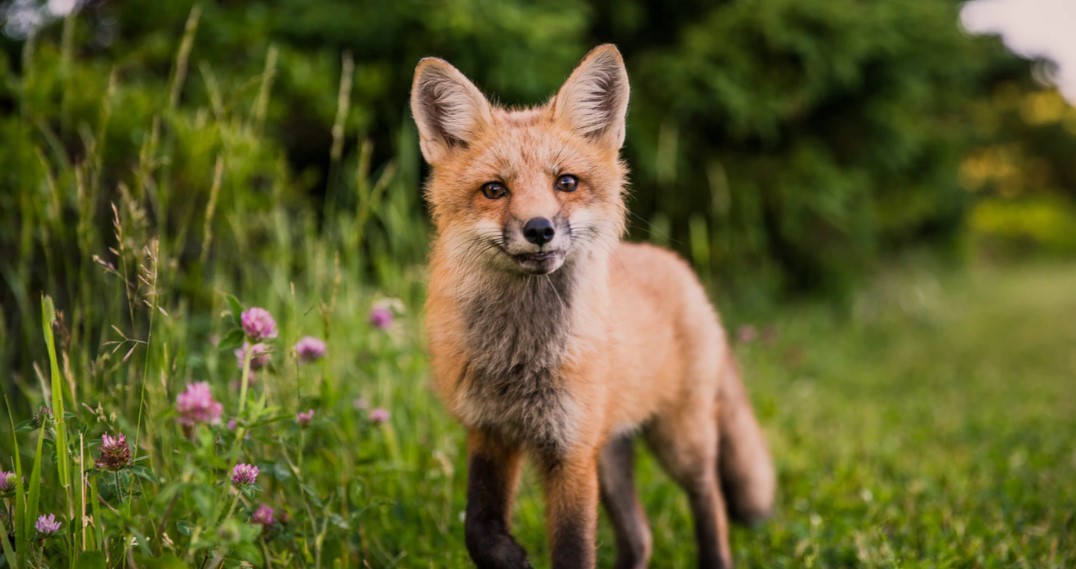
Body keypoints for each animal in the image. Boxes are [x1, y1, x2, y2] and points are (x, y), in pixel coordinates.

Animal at [411, 44, 776, 569]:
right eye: (494, 189)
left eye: (566, 182)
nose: (539, 229)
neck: (520, 358)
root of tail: (678, 266)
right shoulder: (490, 431)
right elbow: (477, 527)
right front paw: (510, 556)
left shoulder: (570, 450)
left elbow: (573, 548)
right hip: (611, 452)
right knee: (640, 536)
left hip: (679, 440)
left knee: (711, 501)